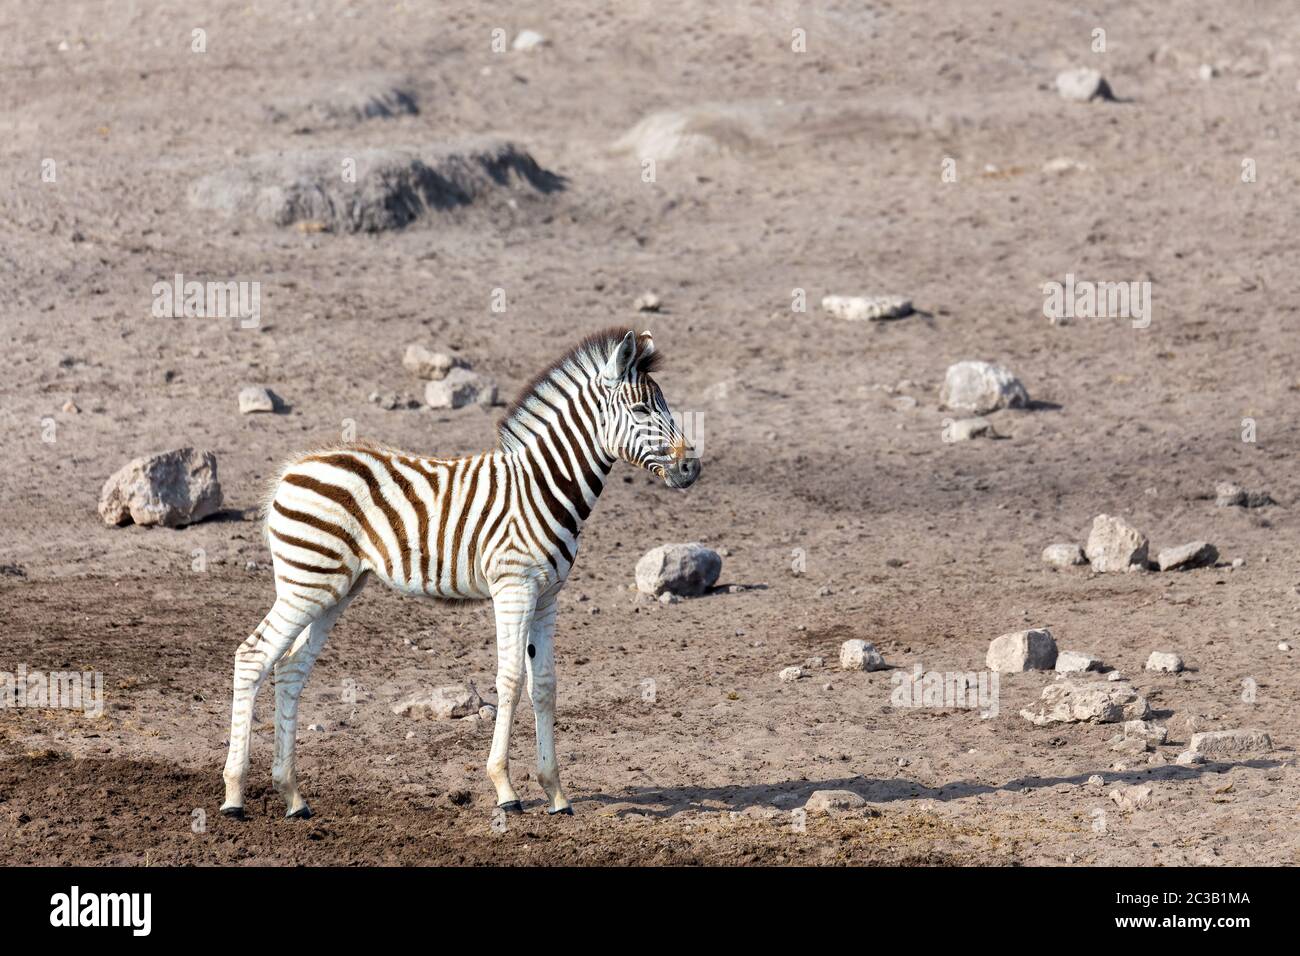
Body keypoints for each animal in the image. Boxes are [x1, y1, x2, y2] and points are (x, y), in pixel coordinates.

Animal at [220, 327, 700, 819]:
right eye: (641, 409)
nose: (691, 467)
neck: (543, 486)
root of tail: (292, 469)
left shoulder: (548, 595)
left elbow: (545, 685)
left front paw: (556, 793)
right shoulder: (514, 586)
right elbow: (511, 679)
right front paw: (505, 788)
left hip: (335, 587)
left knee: (290, 668)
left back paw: (292, 795)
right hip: (307, 582)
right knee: (253, 656)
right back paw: (234, 795)